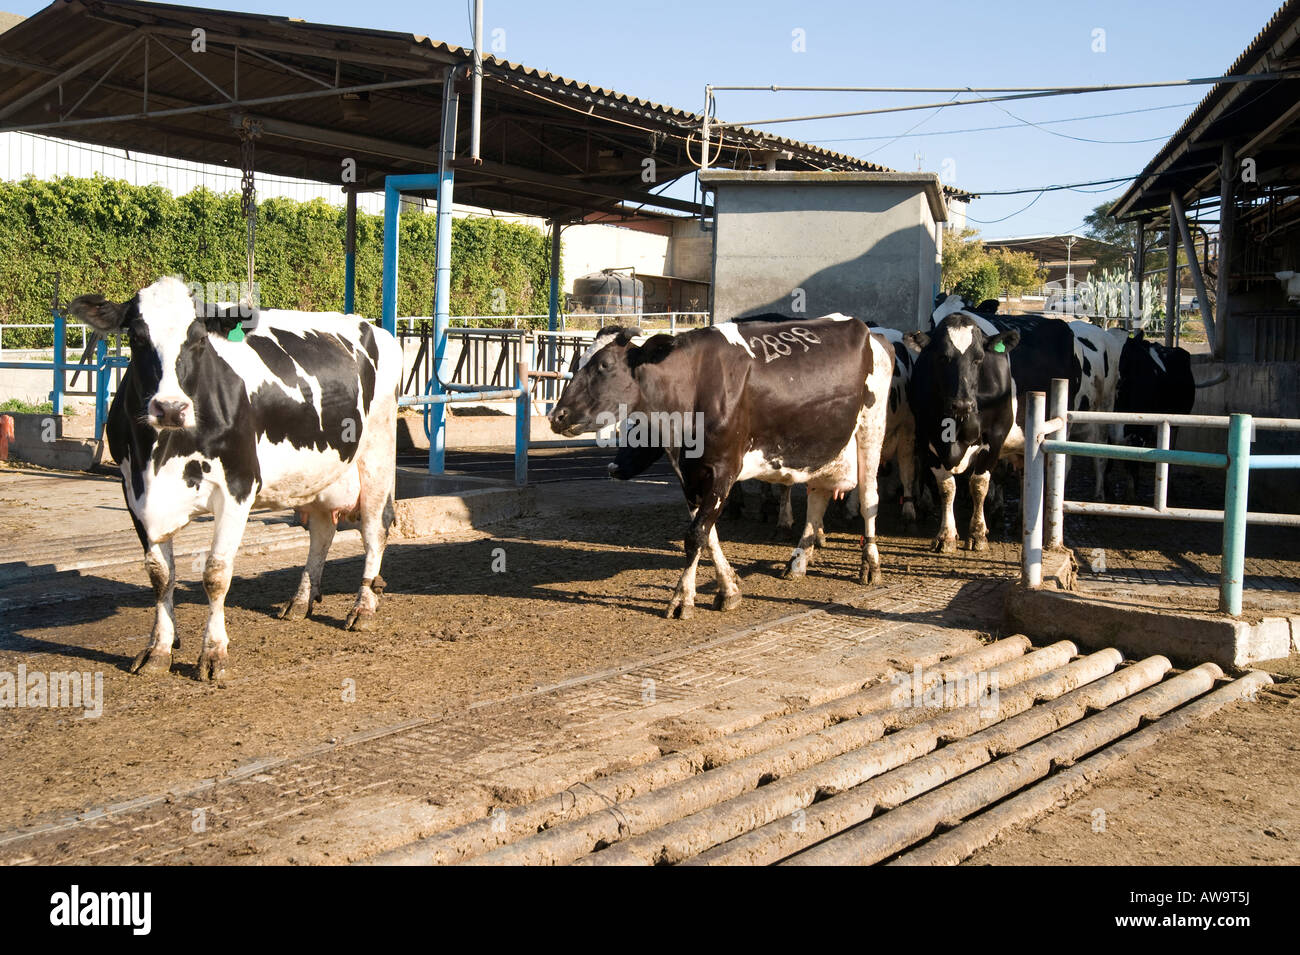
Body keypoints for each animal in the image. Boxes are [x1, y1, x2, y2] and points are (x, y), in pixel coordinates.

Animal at [68, 276, 402, 681]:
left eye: (198, 339)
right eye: (136, 337)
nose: (170, 408)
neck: (162, 454)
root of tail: (370, 325)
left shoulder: (237, 487)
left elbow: (216, 573)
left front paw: (213, 653)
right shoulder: (134, 489)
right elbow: (160, 575)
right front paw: (159, 649)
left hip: (377, 450)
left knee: (374, 528)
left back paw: (363, 607)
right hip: (319, 473)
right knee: (323, 531)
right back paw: (300, 601)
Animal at [550, 314, 893, 619]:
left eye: (604, 365)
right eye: (575, 364)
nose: (556, 416)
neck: (692, 386)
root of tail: (870, 331)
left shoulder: (724, 469)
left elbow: (696, 535)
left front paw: (682, 599)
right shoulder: (688, 474)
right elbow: (707, 534)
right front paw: (728, 589)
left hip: (871, 429)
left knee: (869, 498)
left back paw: (870, 564)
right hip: (824, 445)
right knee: (817, 499)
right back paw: (798, 563)